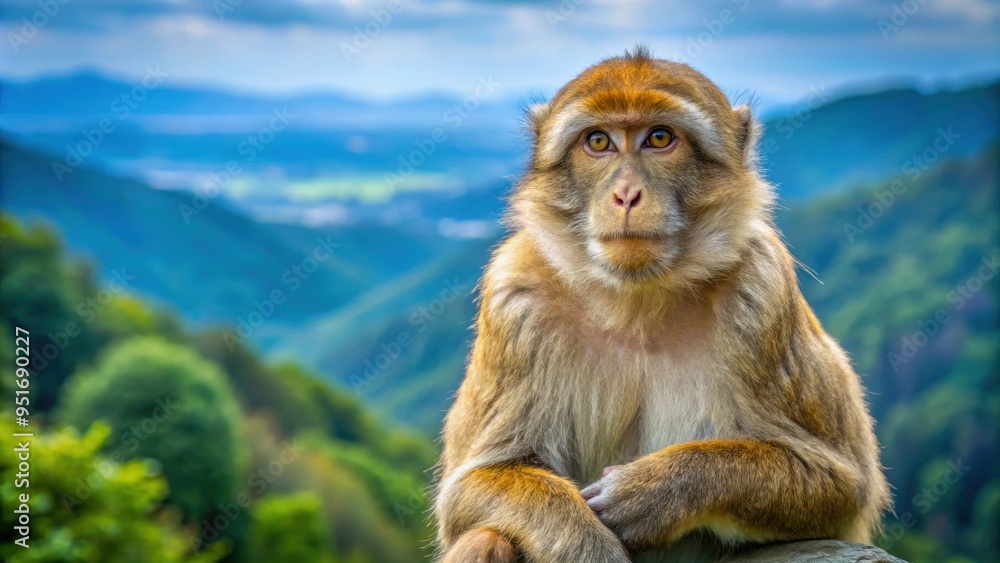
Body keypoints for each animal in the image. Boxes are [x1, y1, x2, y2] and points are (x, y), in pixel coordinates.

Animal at [433, 46, 891, 563]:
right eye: (598, 141)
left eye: (659, 138)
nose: (626, 194)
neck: (636, 306)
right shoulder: (513, 300)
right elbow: (468, 488)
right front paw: (587, 545)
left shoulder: (762, 290)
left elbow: (842, 487)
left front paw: (656, 491)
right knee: (486, 536)